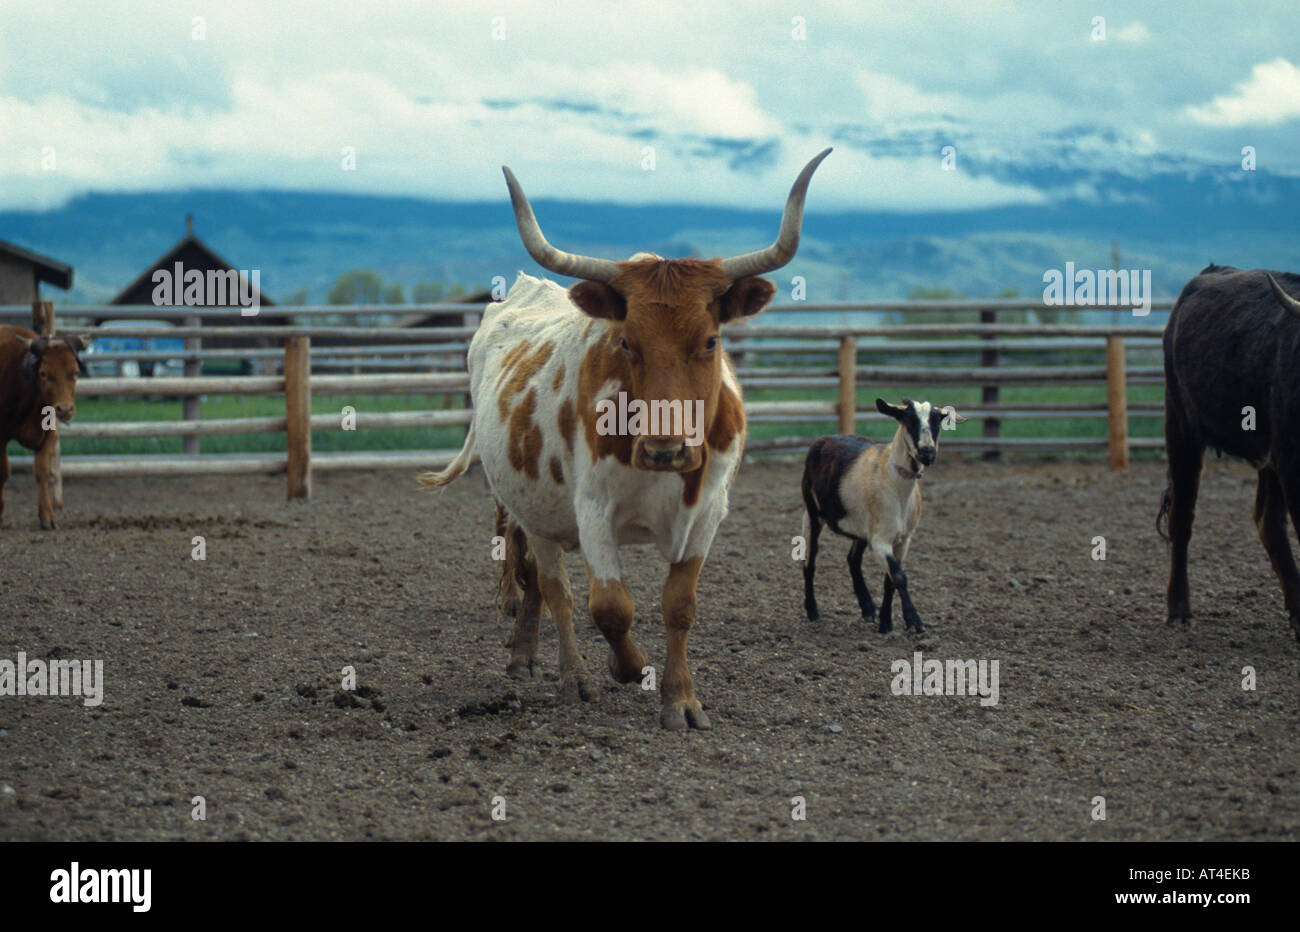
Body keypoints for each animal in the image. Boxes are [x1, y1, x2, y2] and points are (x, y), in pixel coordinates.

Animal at [0, 326, 87, 530]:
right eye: (44, 373)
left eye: (75, 372)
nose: (65, 409)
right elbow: (3, 472)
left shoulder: (48, 436)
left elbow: (42, 472)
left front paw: (48, 516)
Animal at [421, 149, 831, 729]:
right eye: (626, 342)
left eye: (711, 340)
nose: (665, 449)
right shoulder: (593, 510)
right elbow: (610, 608)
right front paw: (631, 669)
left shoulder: (708, 513)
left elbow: (678, 606)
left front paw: (681, 700)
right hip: (532, 508)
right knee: (553, 589)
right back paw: (570, 677)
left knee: (538, 586)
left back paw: (528, 657)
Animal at [800, 398, 965, 633]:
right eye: (909, 420)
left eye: (937, 421)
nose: (927, 453)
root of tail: (824, 438)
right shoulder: (881, 541)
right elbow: (899, 577)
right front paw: (914, 621)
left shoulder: (903, 540)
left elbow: (890, 580)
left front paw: (886, 623)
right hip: (812, 513)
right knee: (810, 561)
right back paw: (812, 611)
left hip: (861, 526)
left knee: (852, 560)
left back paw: (868, 609)